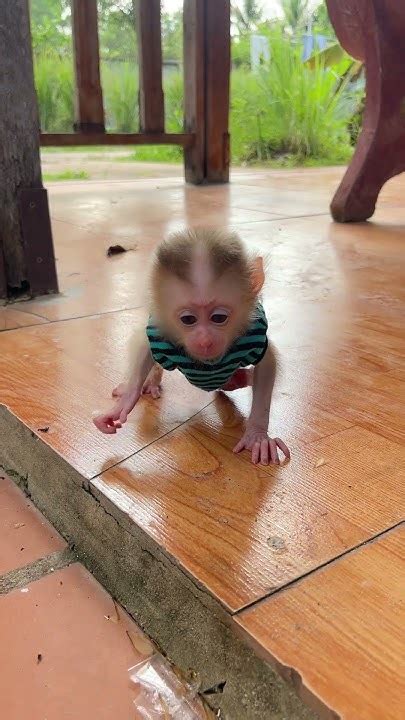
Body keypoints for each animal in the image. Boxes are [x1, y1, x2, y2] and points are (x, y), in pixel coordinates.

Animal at [93, 228, 290, 466]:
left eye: (219, 317)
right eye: (188, 319)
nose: (204, 340)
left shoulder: (254, 334)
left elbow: (267, 364)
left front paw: (257, 435)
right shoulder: (159, 333)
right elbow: (144, 346)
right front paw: (127, 400)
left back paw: (242, 378)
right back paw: (151, 383)